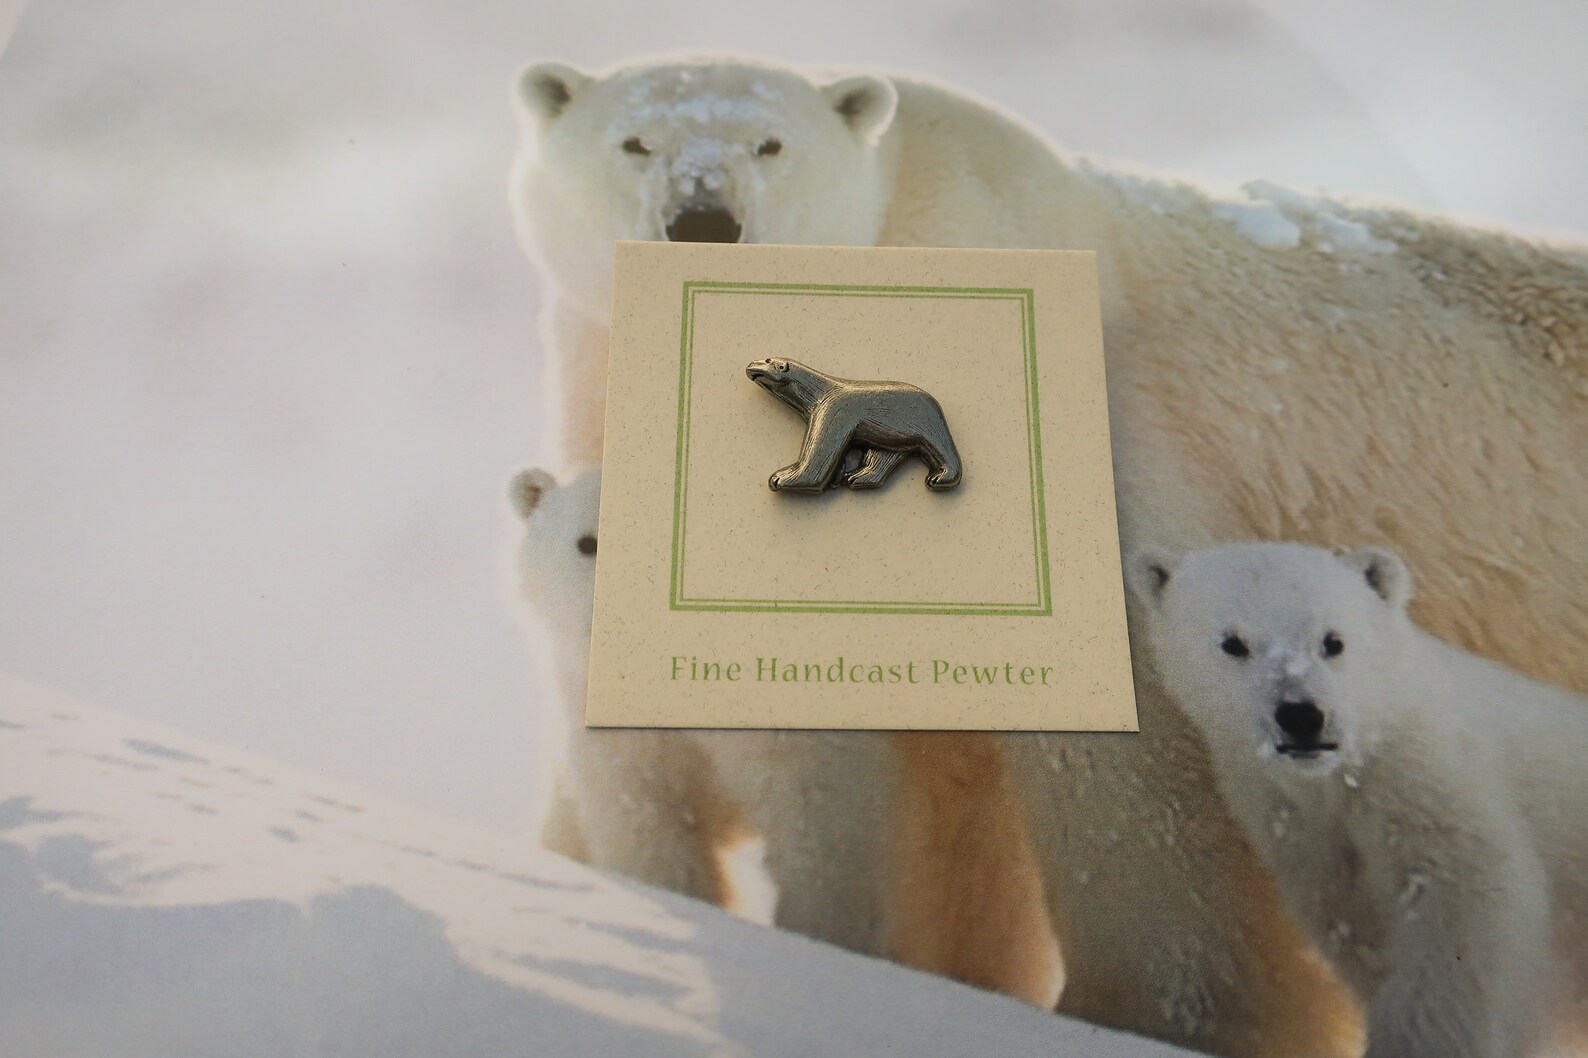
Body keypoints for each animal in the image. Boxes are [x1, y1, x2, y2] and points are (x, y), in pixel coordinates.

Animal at [745, 357, 962, 492]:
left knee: (940, 446)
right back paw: (858, 476)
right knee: (882, 454)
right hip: (891, 432)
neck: (819, 390)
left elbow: (821, 449)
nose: (751, 365)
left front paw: (783, 477)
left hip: (924, 422)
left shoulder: (836, 411)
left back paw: (941, 477)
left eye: (768, 360)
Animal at [1125, 540, 1588, 1058]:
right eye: (1233, 642)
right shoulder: (1303, 834)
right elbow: (1355, 924)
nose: (1302, 716)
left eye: (1332, 640)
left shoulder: (1429, 785)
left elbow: (1465, 914)